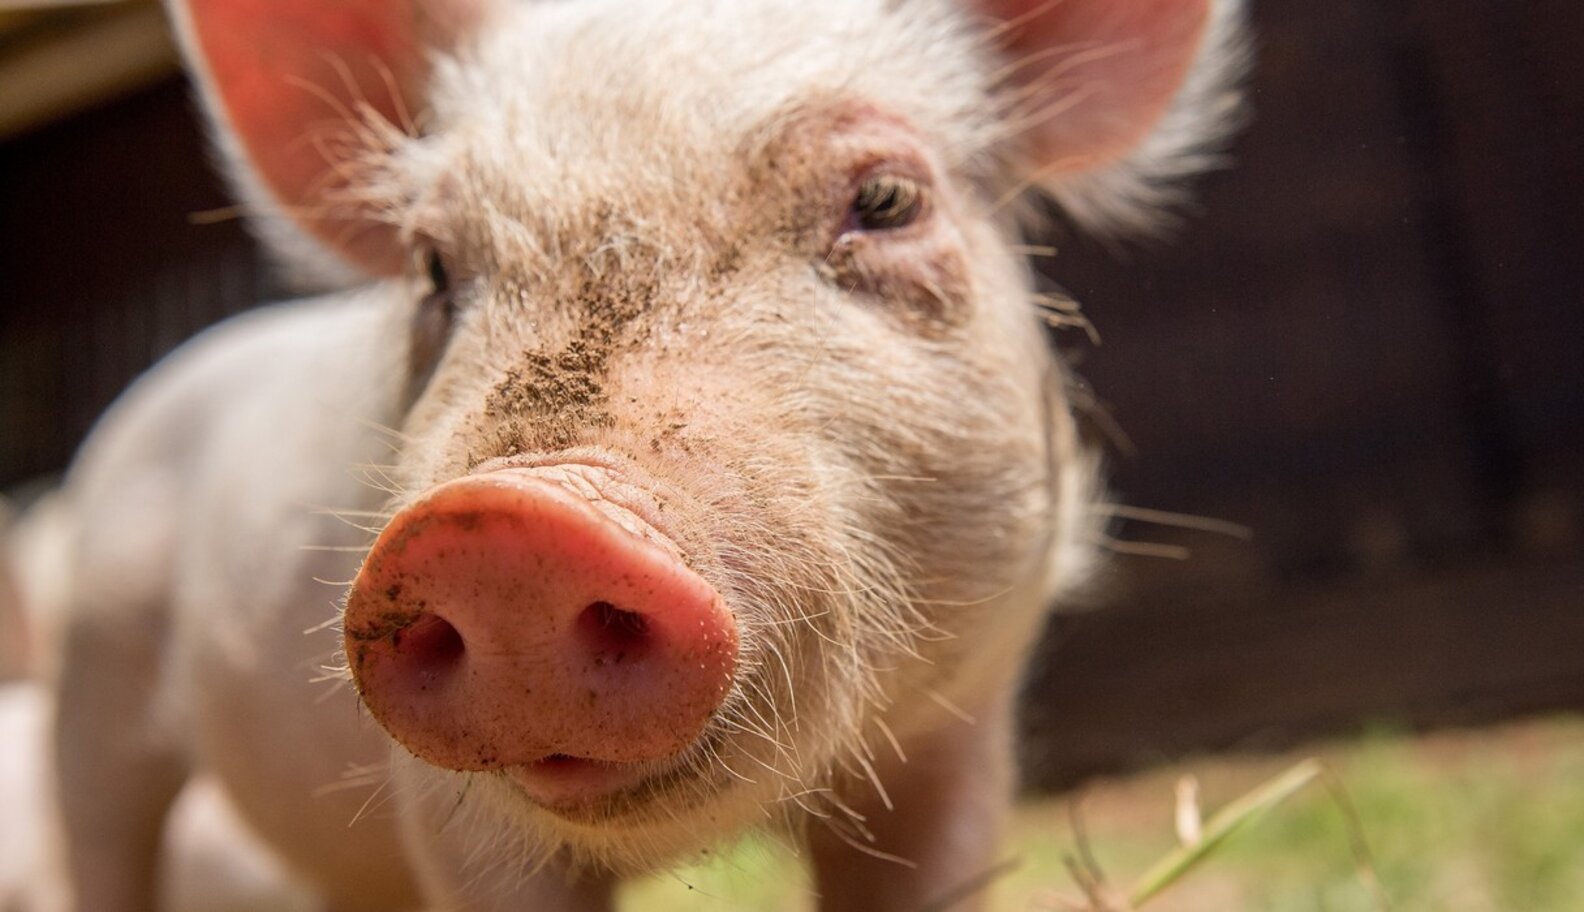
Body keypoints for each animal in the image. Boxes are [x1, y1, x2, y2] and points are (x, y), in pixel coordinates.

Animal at [47, 0, 1245, 909]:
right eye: (434, 264)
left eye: (887, 199)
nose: (511, 525)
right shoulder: (446, 811)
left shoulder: (964, 726)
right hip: (93, 676)